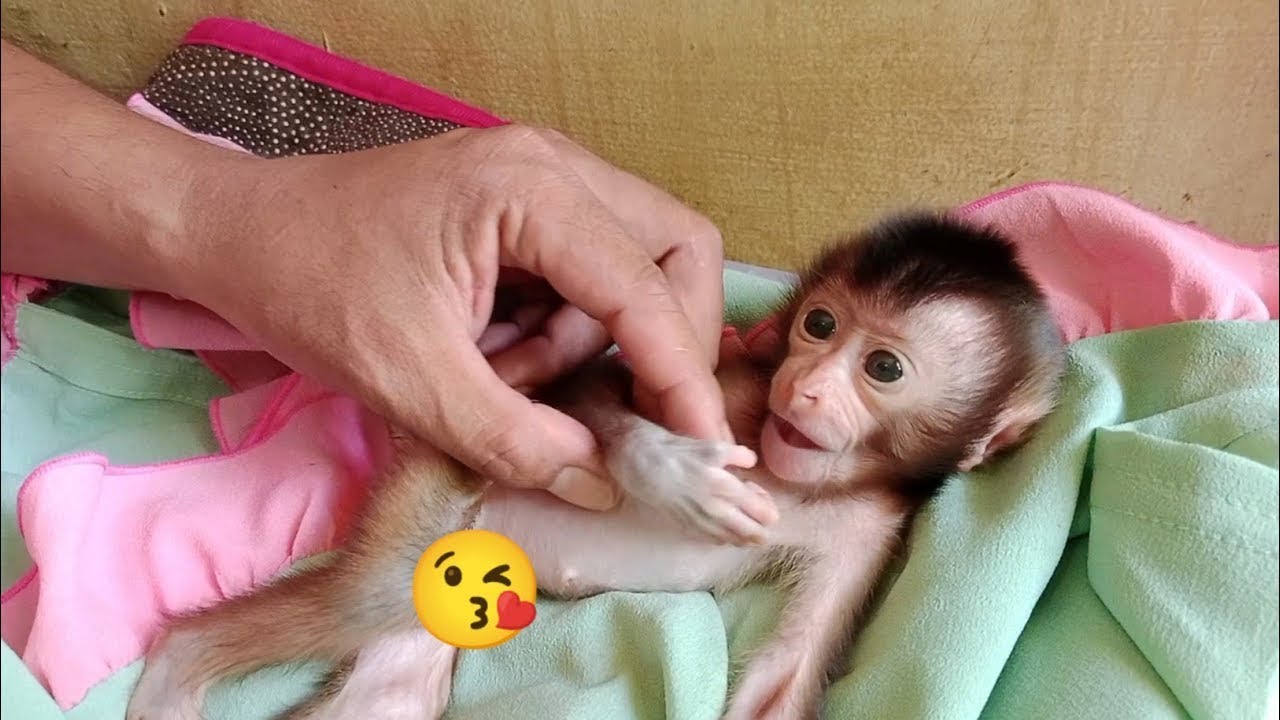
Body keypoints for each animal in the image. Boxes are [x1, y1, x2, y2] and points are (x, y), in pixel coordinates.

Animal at [124, 210, 1066, 720]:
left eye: (884, 369)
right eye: (821, 326)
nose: (805, 388)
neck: (803, 477)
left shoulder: (875, 530)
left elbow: (783, 682)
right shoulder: (730, 388)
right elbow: (592, 387)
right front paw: (668, 471)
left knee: (389, 687)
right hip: (439, 482)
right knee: (369, 593)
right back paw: (174, 669)